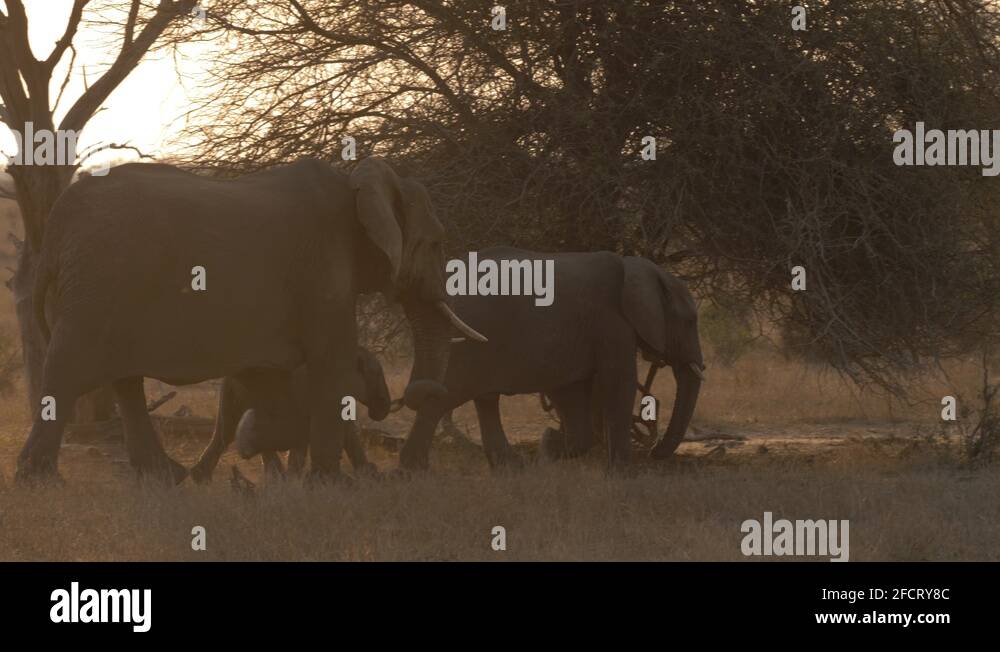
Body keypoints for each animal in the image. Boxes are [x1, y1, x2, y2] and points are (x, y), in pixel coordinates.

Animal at [395, 247, 704, 471]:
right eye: (690, 321)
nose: (654, 452)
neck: (640, 268)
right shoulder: (612, 324)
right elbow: (619, 382)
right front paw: (621, 474)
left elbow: (572, 392)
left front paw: (547, 450)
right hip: (468, 337)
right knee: (446, 395)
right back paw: (413, 470)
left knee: (485, 398)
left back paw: (513, 468)